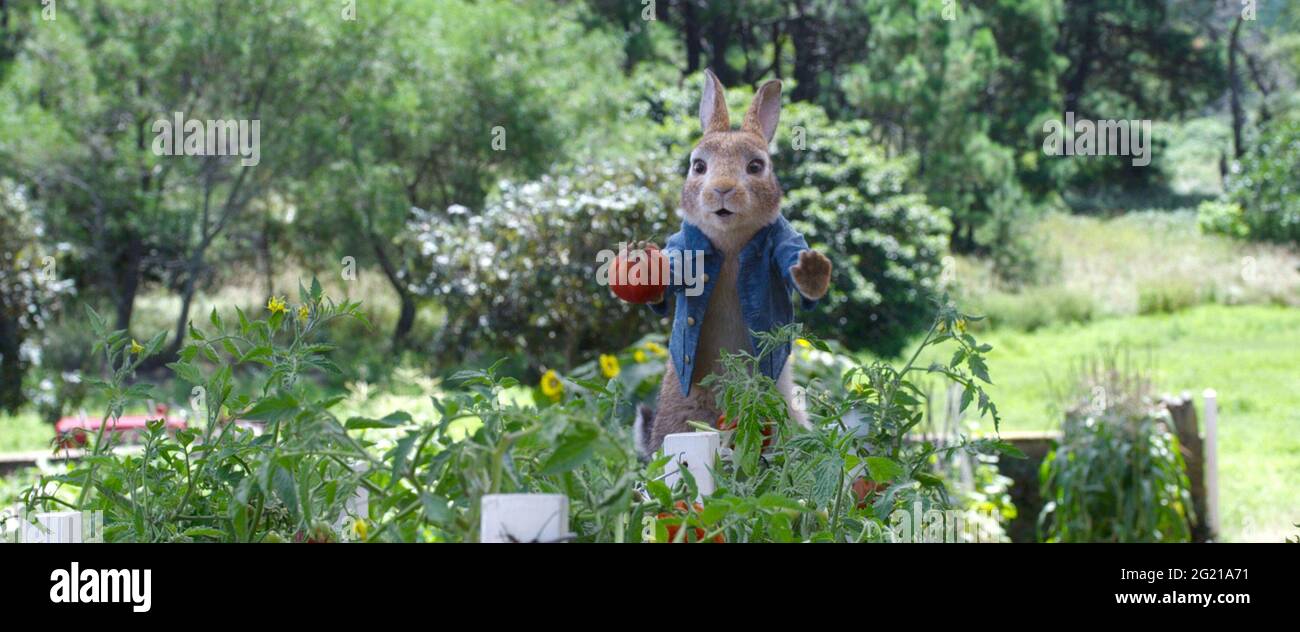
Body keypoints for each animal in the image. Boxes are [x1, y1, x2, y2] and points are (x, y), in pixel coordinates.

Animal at [631, 69, 833, 457]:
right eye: (698, 166)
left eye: (756, 166)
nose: (722, 189)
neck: (730, 239)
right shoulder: (684, 245)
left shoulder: (779, 240)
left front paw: (811, 271)